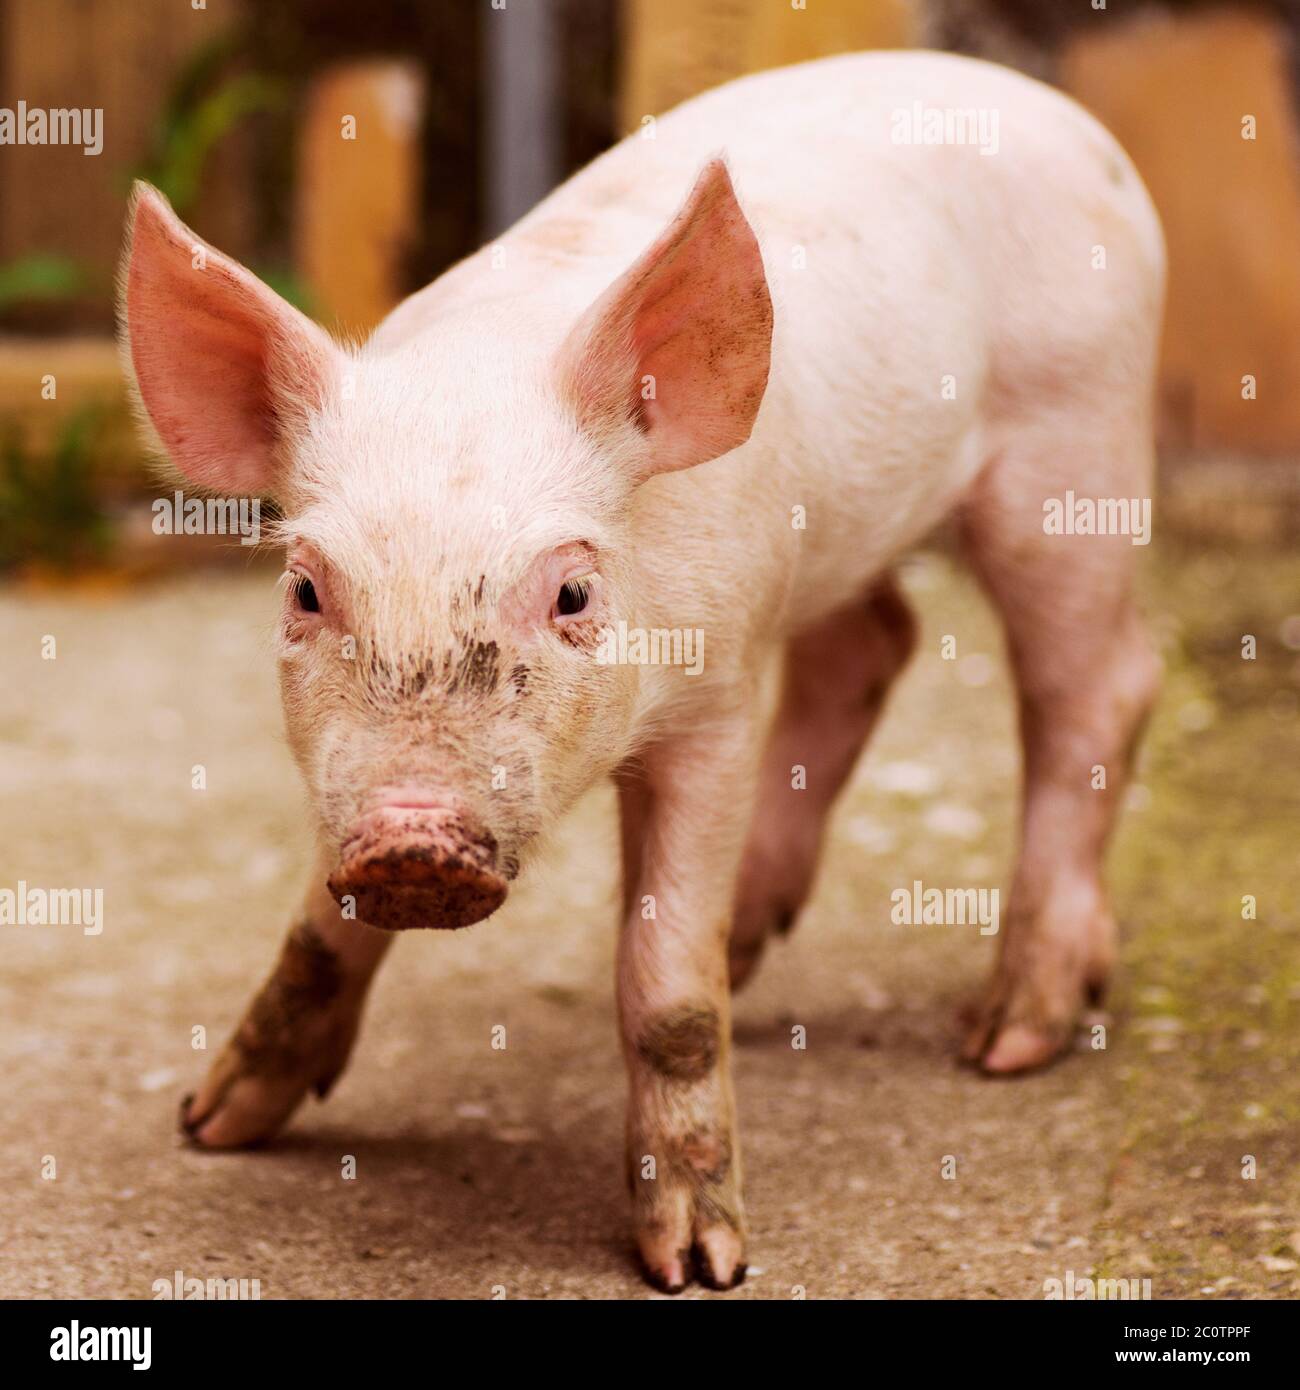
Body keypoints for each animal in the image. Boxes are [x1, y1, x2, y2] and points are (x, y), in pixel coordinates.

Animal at [119, 50, 1164, 1292]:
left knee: (1097, 689)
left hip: (1075, 456)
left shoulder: (715, 703)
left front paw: (701, 1262)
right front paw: (215, 1124)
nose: (412, 839)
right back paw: (758, 950)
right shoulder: (342, 782)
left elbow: (665, 982)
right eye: (306, 591)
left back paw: (1008, 1037)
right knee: (875, 642)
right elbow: (322, 931)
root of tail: (1057, 114)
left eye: (572, 593)